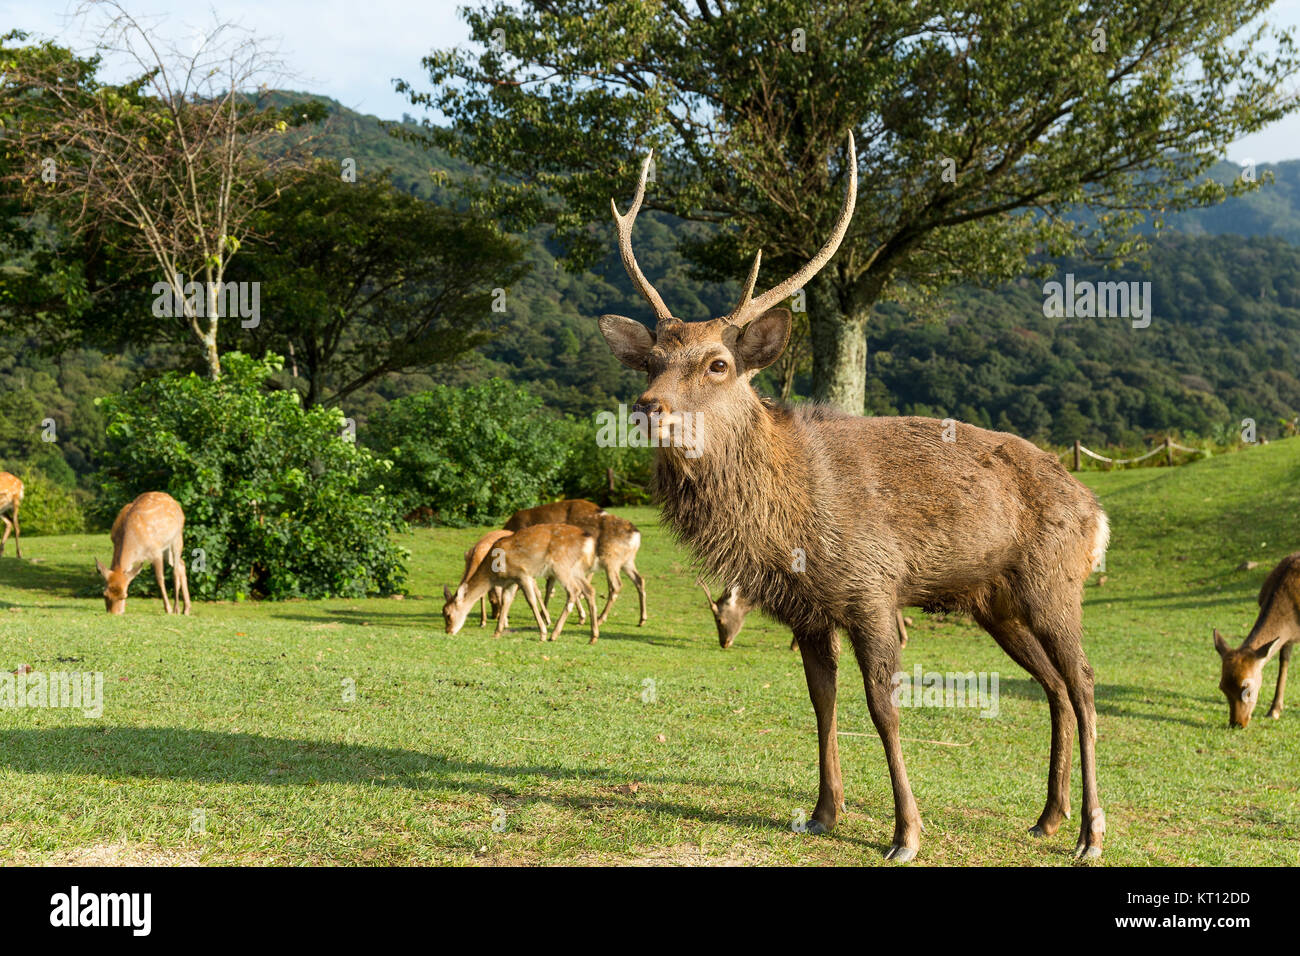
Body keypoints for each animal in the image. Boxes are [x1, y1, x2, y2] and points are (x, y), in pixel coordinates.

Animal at [442, 523, 599, 643]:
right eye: (443, 613)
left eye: (448, 614)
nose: (448, 631)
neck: (493, 571)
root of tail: (588, 541)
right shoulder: (510, 582)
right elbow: (506, 601)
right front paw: (496, 632)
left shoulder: (522, 574)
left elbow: (531, 601)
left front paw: (542, 633)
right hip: (576, 569)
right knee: (589, 590)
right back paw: (593, 637)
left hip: (561, 566)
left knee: (573, 591)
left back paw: (554, 634)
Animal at [506, 500, 647, 627]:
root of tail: (636, 536)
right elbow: (550, 586)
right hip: (627, 561)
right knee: (639, 580)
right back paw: (641, 619)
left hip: (611, 560)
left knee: (616, 585)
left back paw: (600, 619)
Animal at [1214, 552, 1300, 728]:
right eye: (1222, 687)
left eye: (1248, 689)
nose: (1237, 723)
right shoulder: (1287, 638)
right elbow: (1283, 663)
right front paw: (1274, 711)